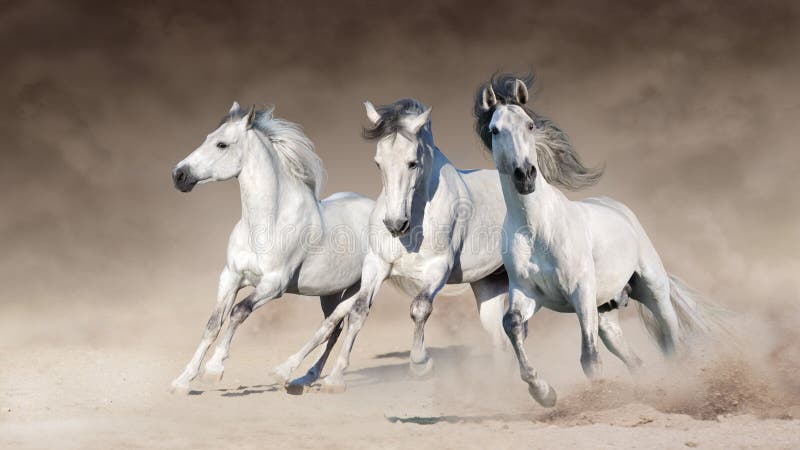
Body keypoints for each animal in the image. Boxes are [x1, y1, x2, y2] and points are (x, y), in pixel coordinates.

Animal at [169, 102, 374, 394]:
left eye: (221, 144)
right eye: (207, 138)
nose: (179, 174)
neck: (267, 223)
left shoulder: (273, 285)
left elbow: (238, 312)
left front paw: (213, 370)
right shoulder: (231, 277)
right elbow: (212, 324)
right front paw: (183, 381)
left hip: (362, 287)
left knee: (343, 323)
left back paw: (307, 377)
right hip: (331, 292)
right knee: (333, 330)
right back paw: (304, 379)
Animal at [271, 99, 510, 391]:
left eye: (412, 163)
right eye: (378, 163)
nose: (396, 224)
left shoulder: (438, 269)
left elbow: (419, 308)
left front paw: (420, 364)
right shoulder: (377, 265)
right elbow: (357, 312)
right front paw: (335, 378)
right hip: (489, 285)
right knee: (501, 338)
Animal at [475, 74, 714, 407]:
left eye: (530, 125)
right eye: (495, 130)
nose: (525, 176)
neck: (536, 229)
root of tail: (619, 209)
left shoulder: (581, 293)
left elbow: (589, 358)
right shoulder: (529, 294)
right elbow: (512, 325)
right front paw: (543, 392)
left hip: (653, 292)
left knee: (674, 344)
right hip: (606, 316)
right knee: (636, 361)